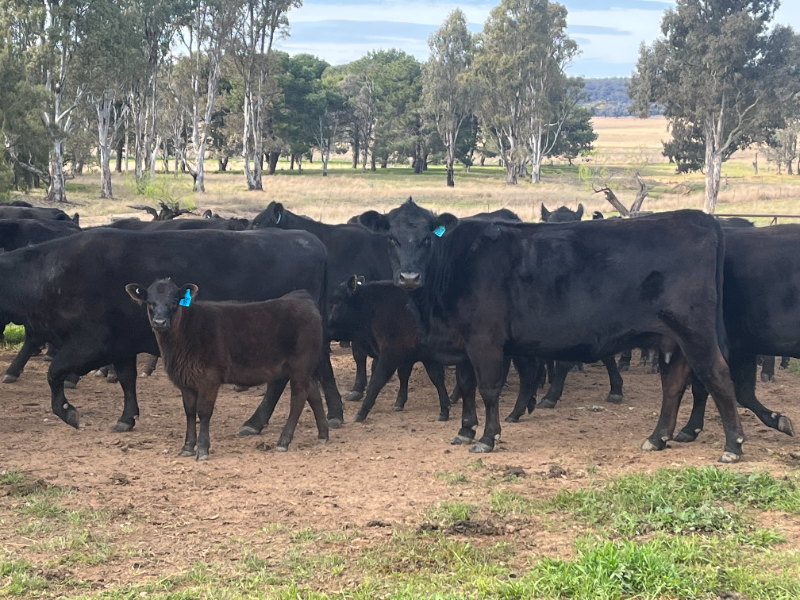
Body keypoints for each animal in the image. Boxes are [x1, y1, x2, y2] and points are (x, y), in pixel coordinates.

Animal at [0, 228, 343, 432]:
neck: (49, 273)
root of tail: (307, 238)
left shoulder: (91, 342)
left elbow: (54, 372)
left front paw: (68, 412)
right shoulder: (121, 344)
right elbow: (127, 379)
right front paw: (126, 417)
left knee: (279, 381)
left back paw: (256, 422)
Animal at [127, 281, 328, 458]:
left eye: (174, 301)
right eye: (150, 302)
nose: (159, 322)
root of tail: (302, 298)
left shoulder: (209, 378)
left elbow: (203, 411)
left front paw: (202, 449)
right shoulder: (185, 381)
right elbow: (189, 411)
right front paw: (187, 447)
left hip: (300, 365)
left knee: (298, 398)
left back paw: (284, 441)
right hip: (304, 368)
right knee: (313, 393)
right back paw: (323, 434)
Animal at [328, 276, 452, 421]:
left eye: (335, 302)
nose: (325, 324)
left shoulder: (390, 354)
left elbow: (377, 381)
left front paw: (362, 412)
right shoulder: (421, 356)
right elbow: (434, 378)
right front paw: (444, 409)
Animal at [359, 199, 745, 462]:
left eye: (427, 239)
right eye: (391, 238)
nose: (409, 277)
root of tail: (697, 217)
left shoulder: (485, 340)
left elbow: (488, 389)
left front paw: (487, 437)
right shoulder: (463, 343)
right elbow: (466, 386)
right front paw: (465, 430)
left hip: (696, 332)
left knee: (718, 376)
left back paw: (733, 445)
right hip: (673, 339)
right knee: (674, 384)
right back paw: (658, 437)